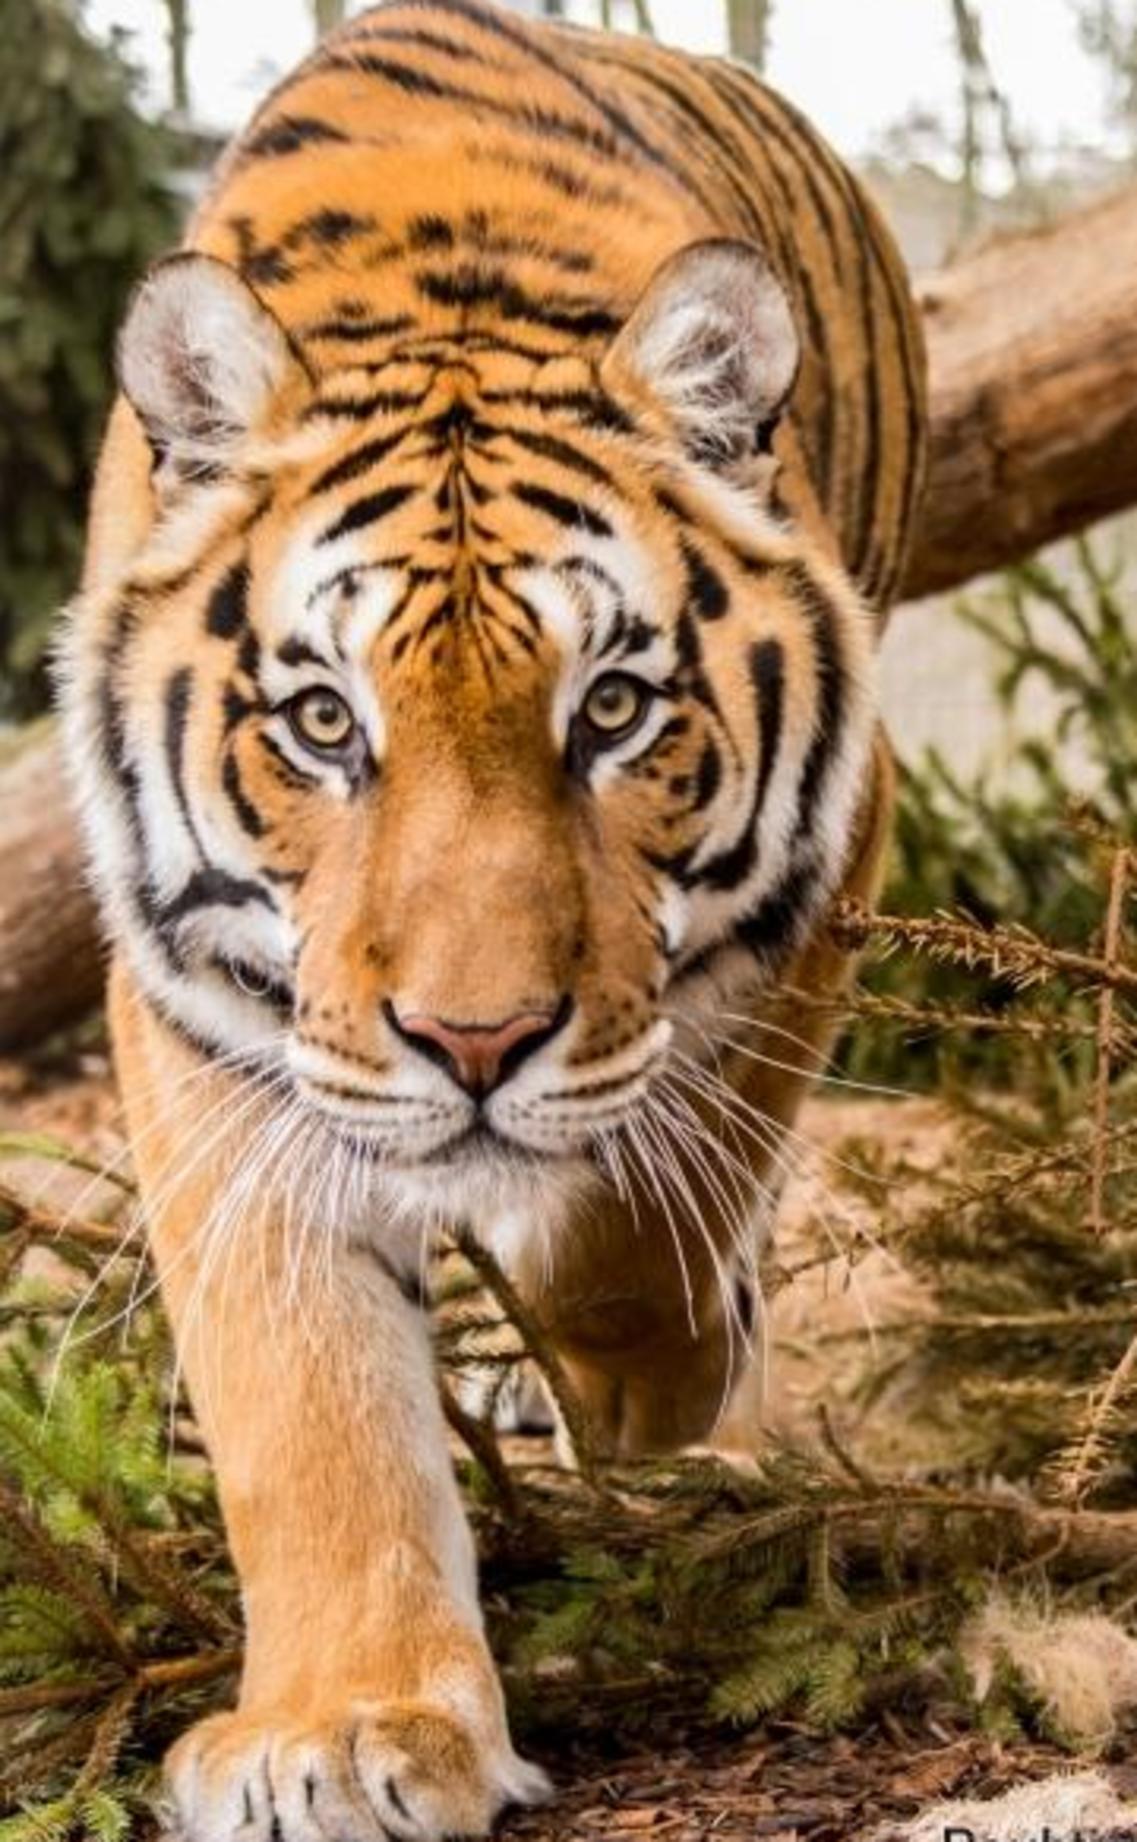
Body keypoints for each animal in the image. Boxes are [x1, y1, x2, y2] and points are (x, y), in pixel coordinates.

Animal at [60, 1, 926, 1834]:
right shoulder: (207, 1019)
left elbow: (653, 1211)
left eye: (609, 709)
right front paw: (344, 1725)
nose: (474, 1041)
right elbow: (300, 1392)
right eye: (326, 723)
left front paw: (650, 1388)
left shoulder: (828, 863)